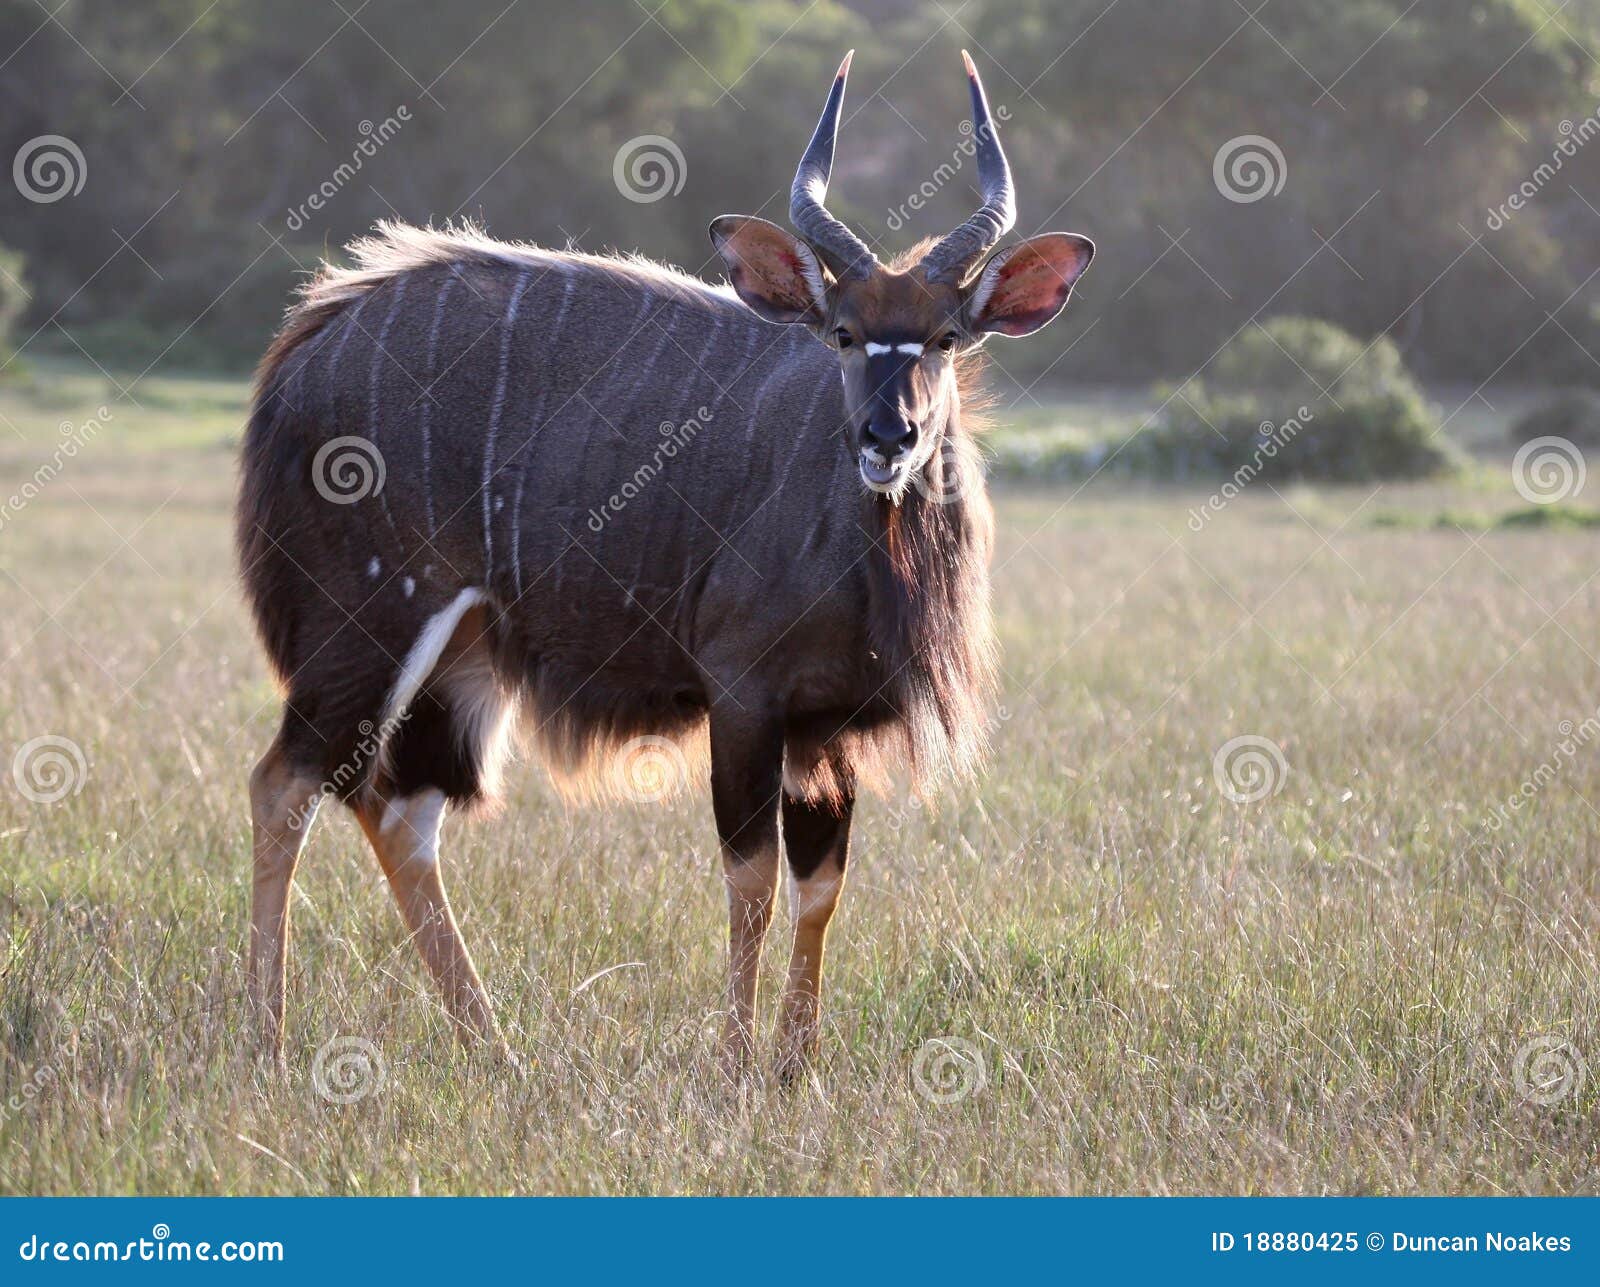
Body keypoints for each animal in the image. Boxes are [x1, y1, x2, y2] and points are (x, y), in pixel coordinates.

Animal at [238, 50, 1093, 1079]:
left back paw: (496, 1048)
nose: (889, 436)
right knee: (285, 785)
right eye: (844, 334)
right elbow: (751, 876)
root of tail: (304, 346)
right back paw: (264, 1043)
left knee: (397, 808)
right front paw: (733, 1067)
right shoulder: (745, 694)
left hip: (459, 654)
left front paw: (796, 1066)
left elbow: (821, 883)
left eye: (946, 337)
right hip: (369, 622)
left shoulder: (826, 726)